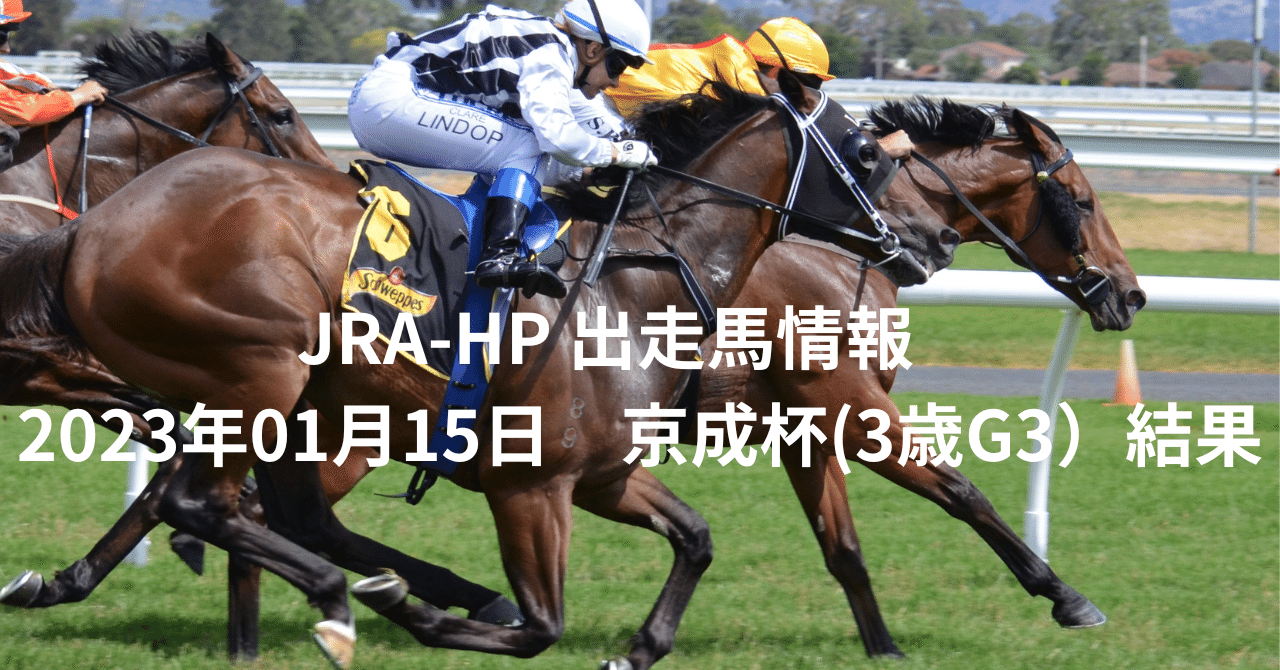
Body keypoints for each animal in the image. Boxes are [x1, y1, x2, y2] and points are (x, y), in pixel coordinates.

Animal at [0, 75, 958, 668]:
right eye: (869, 156)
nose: (929, 239)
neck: (636, 280)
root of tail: (86, 232)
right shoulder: (530, 487)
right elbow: (543, 625)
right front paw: (427, 615)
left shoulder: (601, 475)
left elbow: (695, 537)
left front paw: (637, 647)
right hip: (260, 371)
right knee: (203, 503)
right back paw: (345, 602)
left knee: (271, 509)